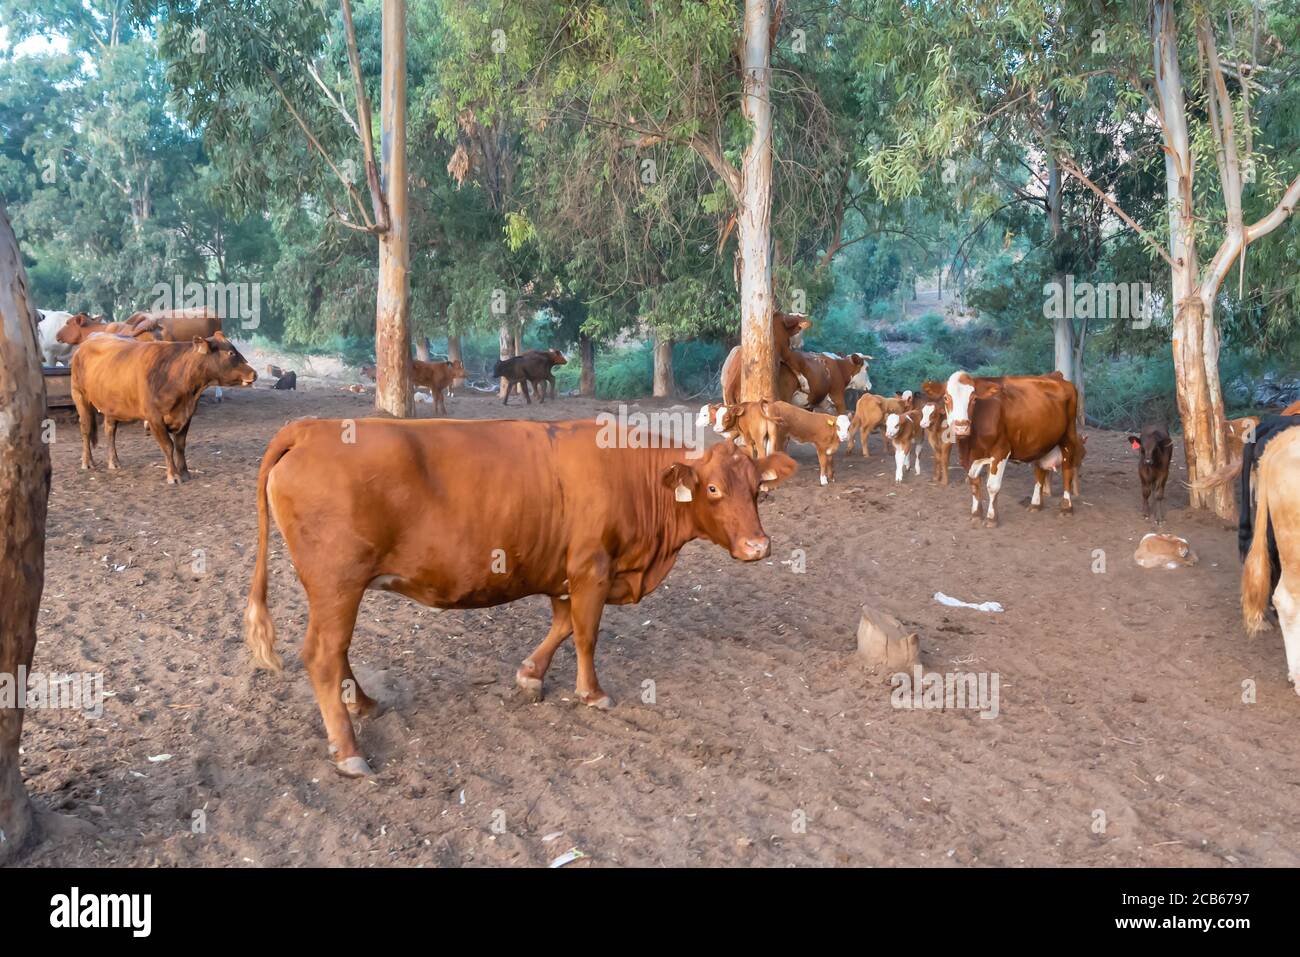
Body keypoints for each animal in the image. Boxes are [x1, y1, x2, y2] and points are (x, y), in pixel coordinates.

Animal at [72, 332, 256, 484]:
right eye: (231, 353)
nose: (254, 373)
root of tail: (84, 344)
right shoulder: (155, 419)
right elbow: (168, 446)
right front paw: (173, 476)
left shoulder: (186, 416)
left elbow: (180, 445)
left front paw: (185, 473)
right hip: (80, 396)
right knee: (86, 429)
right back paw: (88, 462)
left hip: (111, 405)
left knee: (110, 430)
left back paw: (114, 462)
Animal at [243, 419, 798, 776]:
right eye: (712, 489)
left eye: (757, 489)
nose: (759, 546)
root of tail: (311, 427)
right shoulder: (592, 567)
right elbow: (586, 633)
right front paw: (591, 693)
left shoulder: (562, 572)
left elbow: (562, 624)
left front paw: (530, 675)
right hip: (337, 583)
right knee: (323, 654)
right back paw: (347, 749)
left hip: (338, 590)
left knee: (336, 654)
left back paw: (363, 705)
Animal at [943, 370, 1082, 527]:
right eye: (946, 398)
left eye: (974, 398)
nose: (961, 427)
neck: (970, 443)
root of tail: (1056, 375)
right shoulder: (968, 457)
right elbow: (974, 483)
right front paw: (976, 514)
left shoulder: (1001, 451)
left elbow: (992, 486)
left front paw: (991, 518)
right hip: (1040, 441)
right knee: (1040, 471)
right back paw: (1035, 504)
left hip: (1069, 436)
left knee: (1067, 471)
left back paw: (1066, 507)